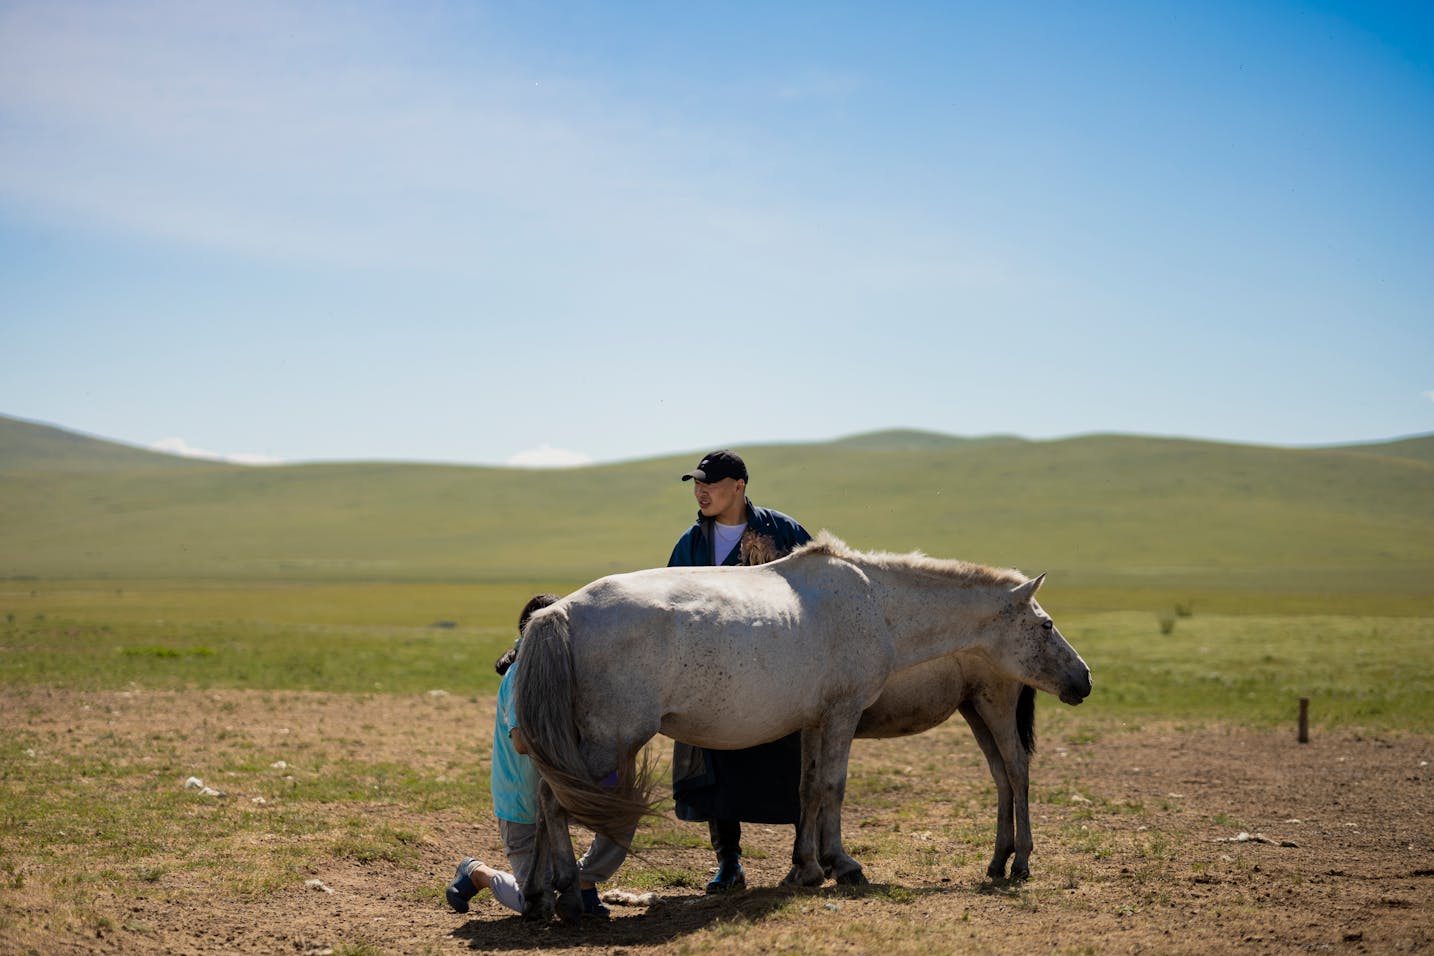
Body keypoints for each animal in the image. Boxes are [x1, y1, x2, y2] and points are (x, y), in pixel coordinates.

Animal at [511, 531, 1091, 922]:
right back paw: (568, 895)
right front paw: (843, 865)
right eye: (1046, 625)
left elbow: (809, 789)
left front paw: (807, 868)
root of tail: (557, 615)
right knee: (554, 805)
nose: (1083, 679)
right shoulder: (842, 714)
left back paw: (537, 897)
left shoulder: (816, 722)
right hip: (607, 744)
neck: (875, 604)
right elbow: (833, 787)